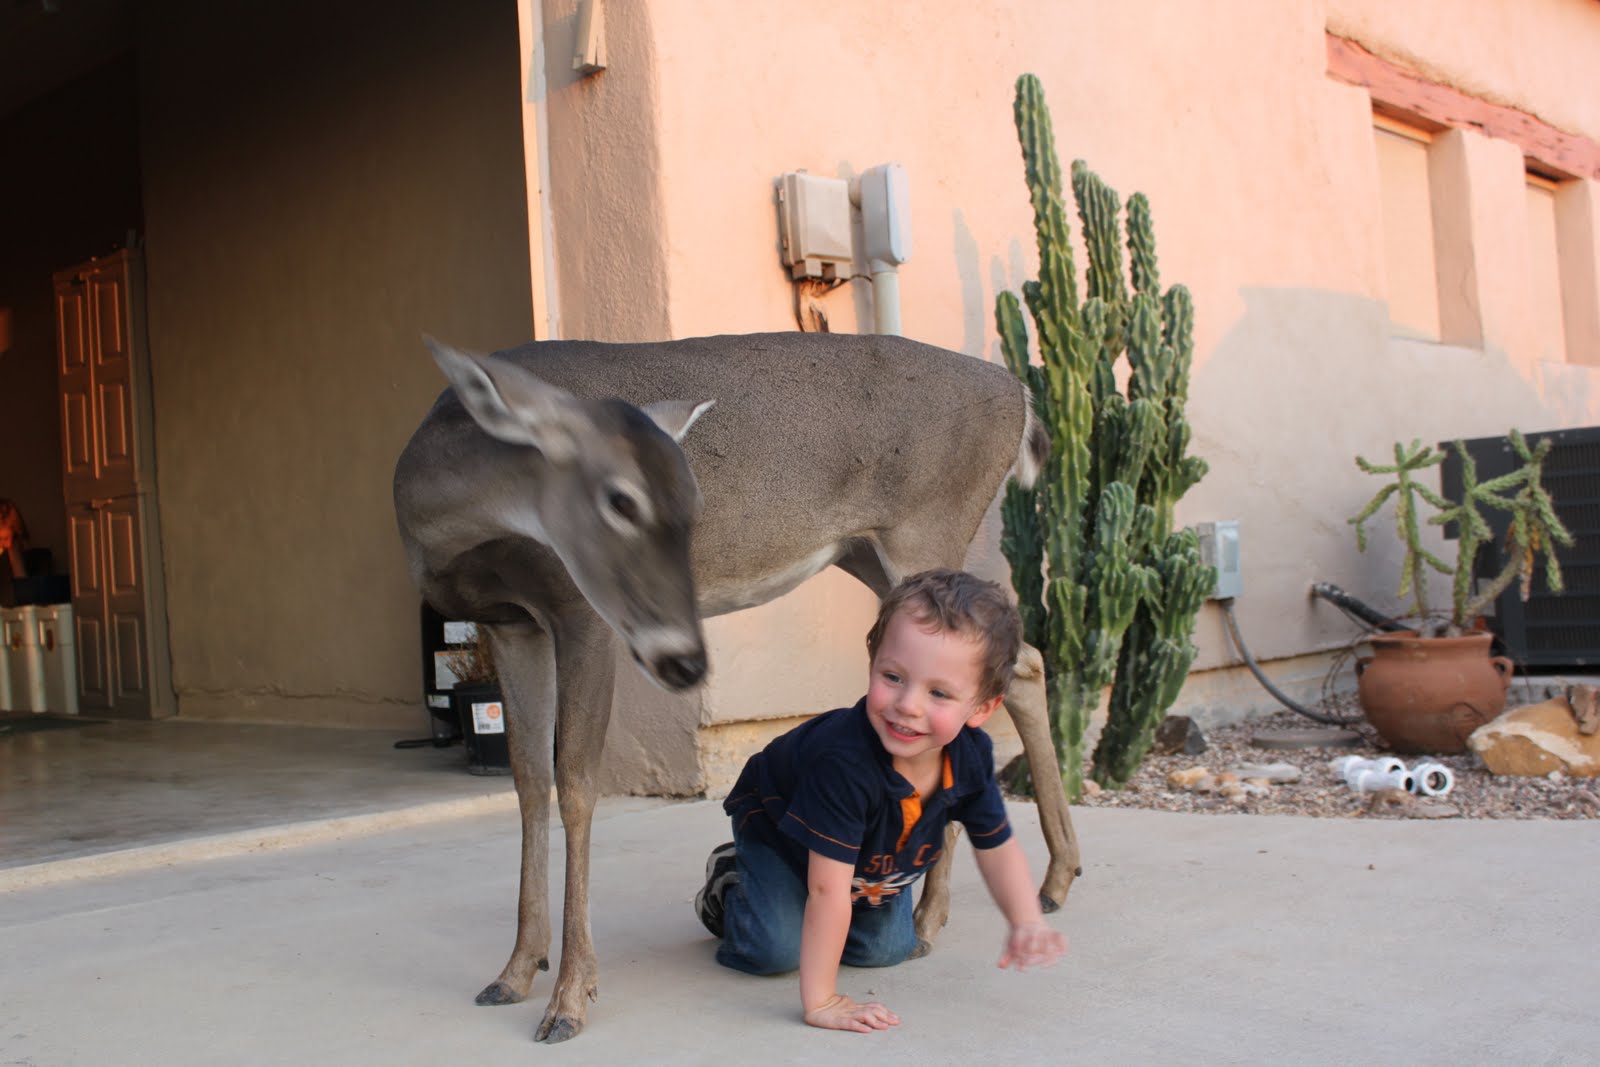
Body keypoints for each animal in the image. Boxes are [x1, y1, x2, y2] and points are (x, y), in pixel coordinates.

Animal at [392, 330, 1082, 1043]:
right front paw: (515, 970)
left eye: (692, 506)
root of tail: (1018, 391)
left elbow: (577, 784)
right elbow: (528, 780)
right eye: (622, 500)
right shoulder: (511, 623)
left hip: (928, 526)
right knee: (1020, 662)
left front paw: (569, 999)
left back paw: (931, 919)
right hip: (867, 553)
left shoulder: (581, 609)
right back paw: (1050, 883)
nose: (687, 659)